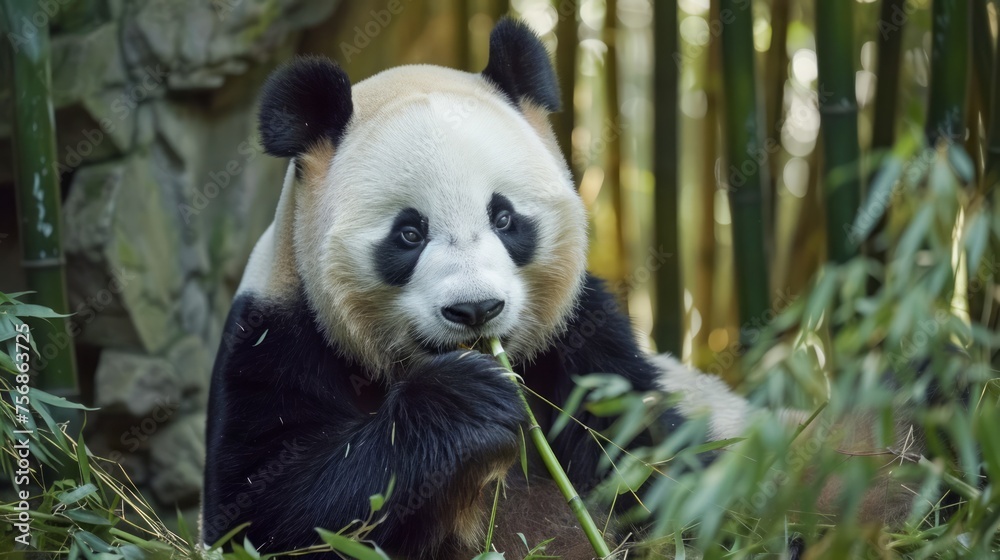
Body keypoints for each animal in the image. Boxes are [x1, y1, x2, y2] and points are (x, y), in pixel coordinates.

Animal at [201, 18, 921, 559]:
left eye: (504, 217)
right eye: (409, 233)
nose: (476, 310)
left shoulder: (585, 339)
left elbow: (652, 465)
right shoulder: (276, 335)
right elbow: (268, 511)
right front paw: (465, 404)